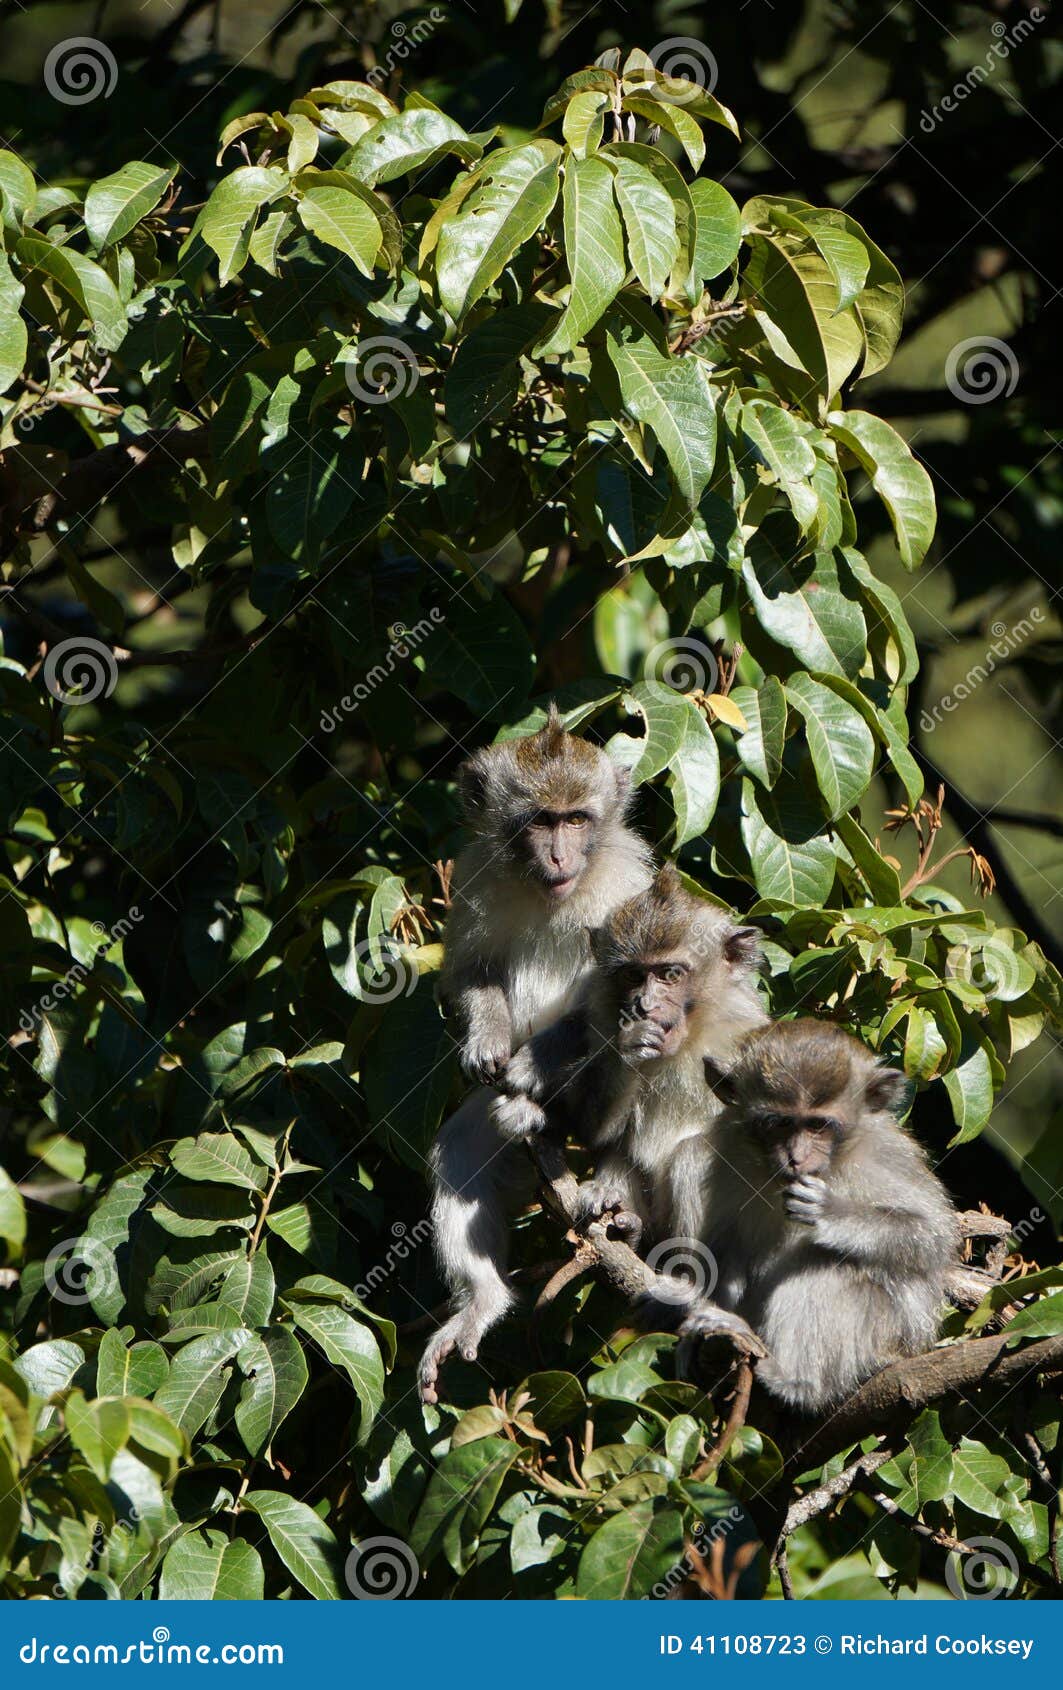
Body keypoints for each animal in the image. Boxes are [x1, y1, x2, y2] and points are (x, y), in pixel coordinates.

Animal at [419, 706, 654, 1404]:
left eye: (576, 819)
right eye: (539, 822)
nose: (558, 854)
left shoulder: (627, 886)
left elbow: (624, 1005)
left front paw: (530, 1064)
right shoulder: (476, 875)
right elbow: (470, 972)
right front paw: (487, 1041)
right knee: (460, 1152)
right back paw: (483, 1300)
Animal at [686, 1018, 958, 1414]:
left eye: (819, 1125)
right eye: (778, 1123)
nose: (796, 1158)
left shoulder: (882, 1156)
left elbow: (931, 1237)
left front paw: (832, 1213)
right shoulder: (727, 1152)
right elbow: (720, 1250)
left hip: (886, 1340)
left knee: (826, 1264)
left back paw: (795, 1382)